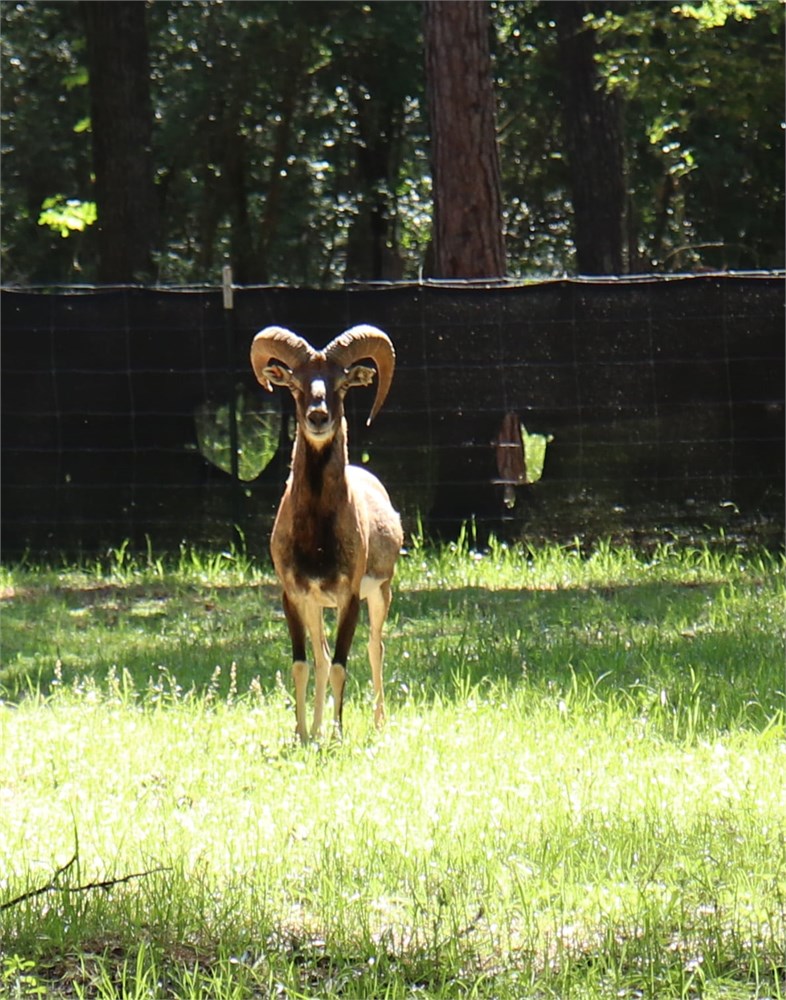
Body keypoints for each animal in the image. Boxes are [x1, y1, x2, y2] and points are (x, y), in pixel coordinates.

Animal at [250, 324, 403, 744]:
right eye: (295, 384)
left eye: (342, 384)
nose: (318, 418)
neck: (316, 537)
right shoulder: (294, 596)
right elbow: (305, 664)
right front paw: (304, 734)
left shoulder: (349, 598)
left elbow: (340, 665)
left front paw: (336, 736)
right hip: (316, 608)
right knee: (319, 654)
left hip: (380, 595)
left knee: (375, 648)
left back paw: (378, 724)